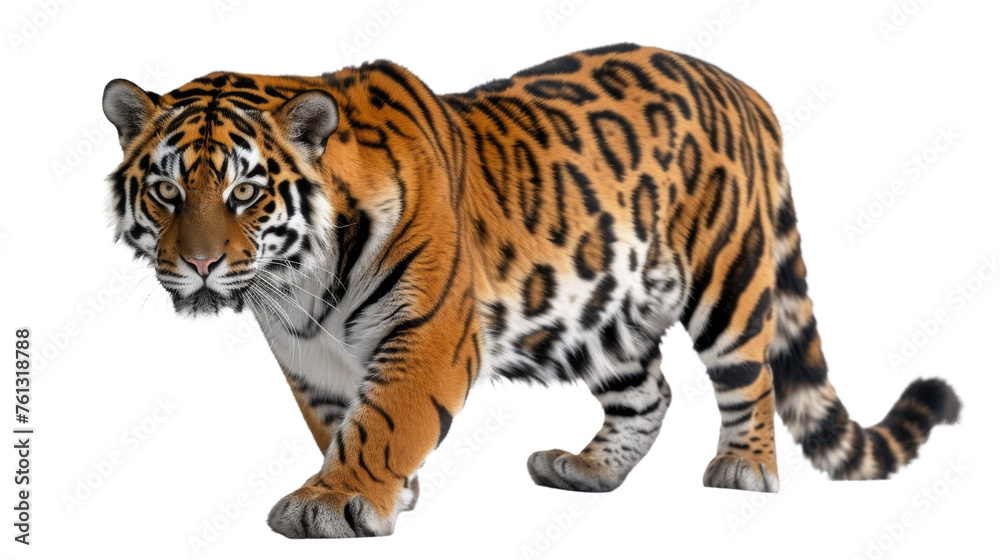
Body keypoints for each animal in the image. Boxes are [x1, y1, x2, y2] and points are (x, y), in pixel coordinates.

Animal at [102, 43, 961, 538]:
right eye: (168, 192)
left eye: (245, 192)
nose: (201, 264)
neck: (296, 282)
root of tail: (744, 90)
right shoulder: (307, 359)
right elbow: (339, 423)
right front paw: (381, 492)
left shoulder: (431, 334)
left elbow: (383, 421)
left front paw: (334, 502)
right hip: (609, 314)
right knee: (650, 394)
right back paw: (587, 469)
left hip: (730, 278)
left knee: (750, 379)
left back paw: (742, 469)